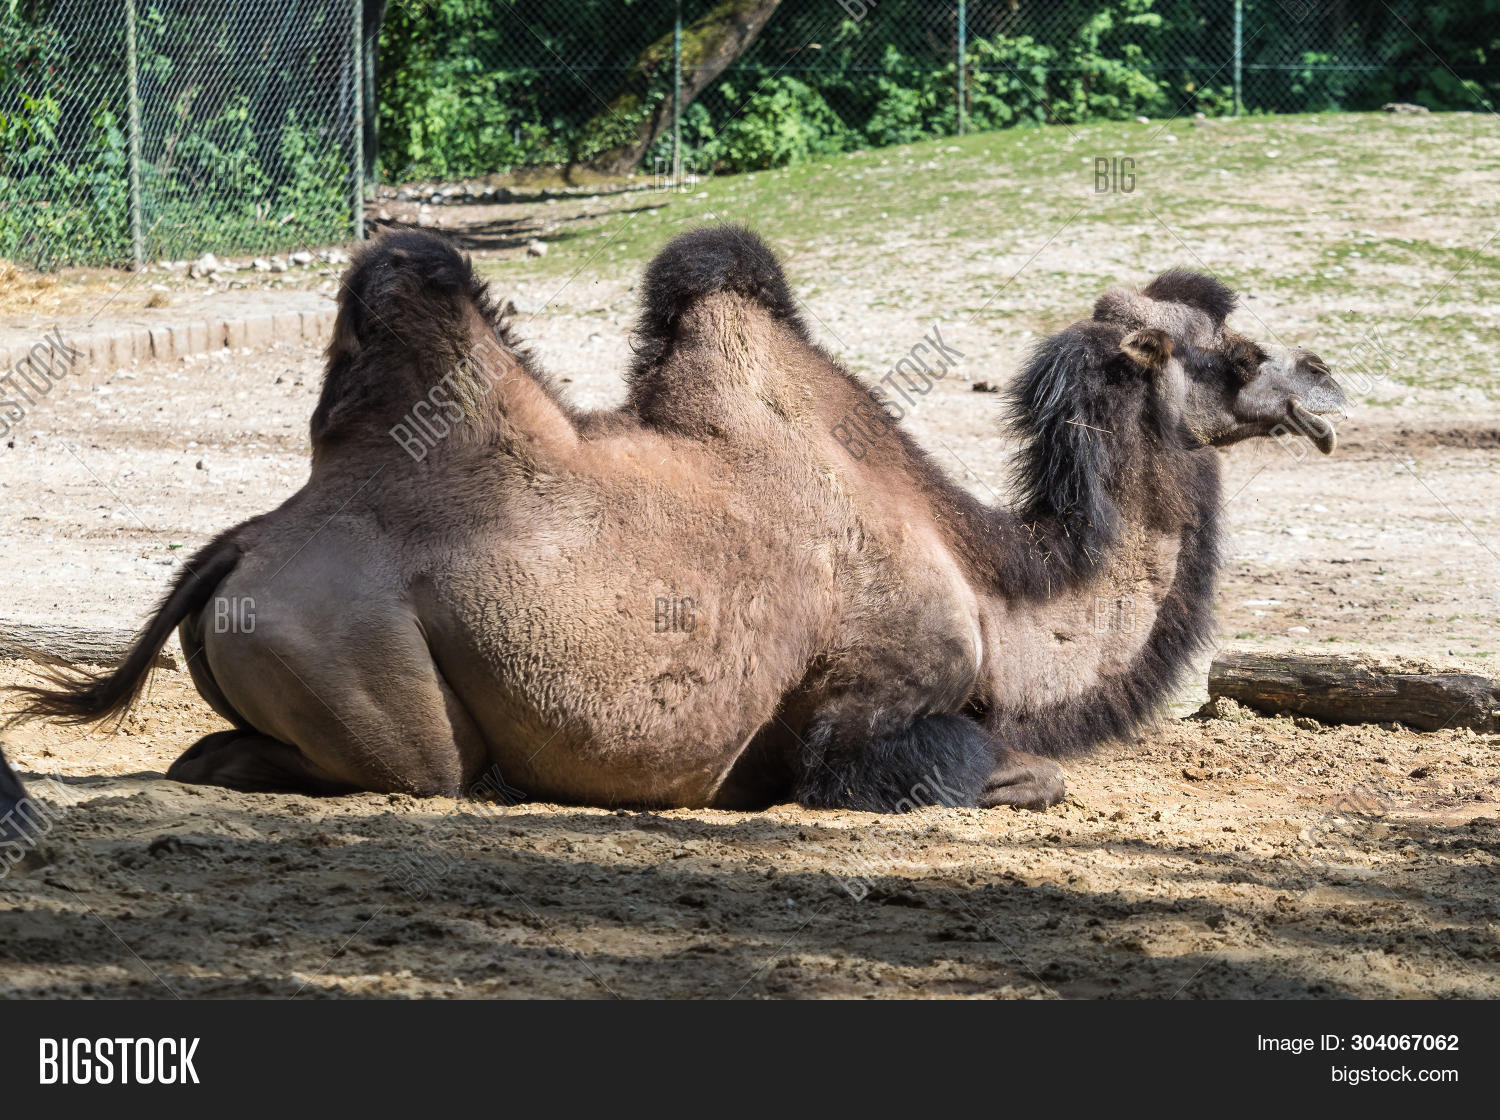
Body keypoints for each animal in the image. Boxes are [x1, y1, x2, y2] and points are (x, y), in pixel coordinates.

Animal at [10, 227, 1345, 812]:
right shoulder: (865, 708)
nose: (1324, 388)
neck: (994, 587)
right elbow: (995, 769)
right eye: (1236, 355)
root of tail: (241, 545)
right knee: (399, 766)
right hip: (360, 665)